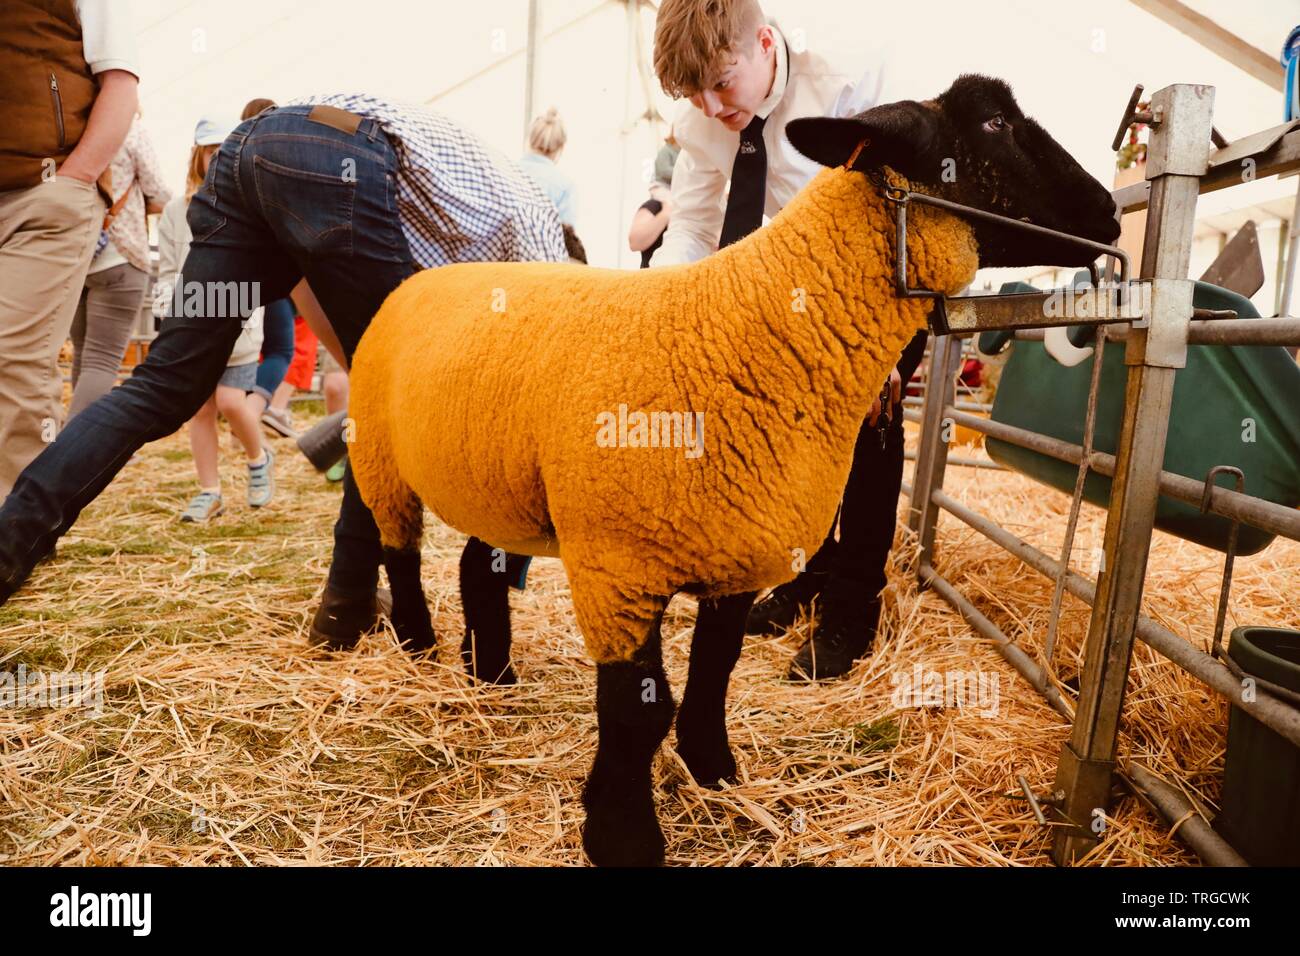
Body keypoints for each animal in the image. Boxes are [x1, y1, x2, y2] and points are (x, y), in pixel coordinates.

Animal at [348, 75, 1122, 865]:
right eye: (994, 122)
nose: (1108, 208)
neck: (747, 329)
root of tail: (426, 277)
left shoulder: (737, 550)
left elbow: (713, 671)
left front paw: (714, 768)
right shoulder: (616, 569)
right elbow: (634, 710)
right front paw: (623, 832)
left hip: (498, 477)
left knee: (477, 564)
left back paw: (492, 671)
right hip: (377, 449)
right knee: (398, 548)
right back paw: (417, 642)